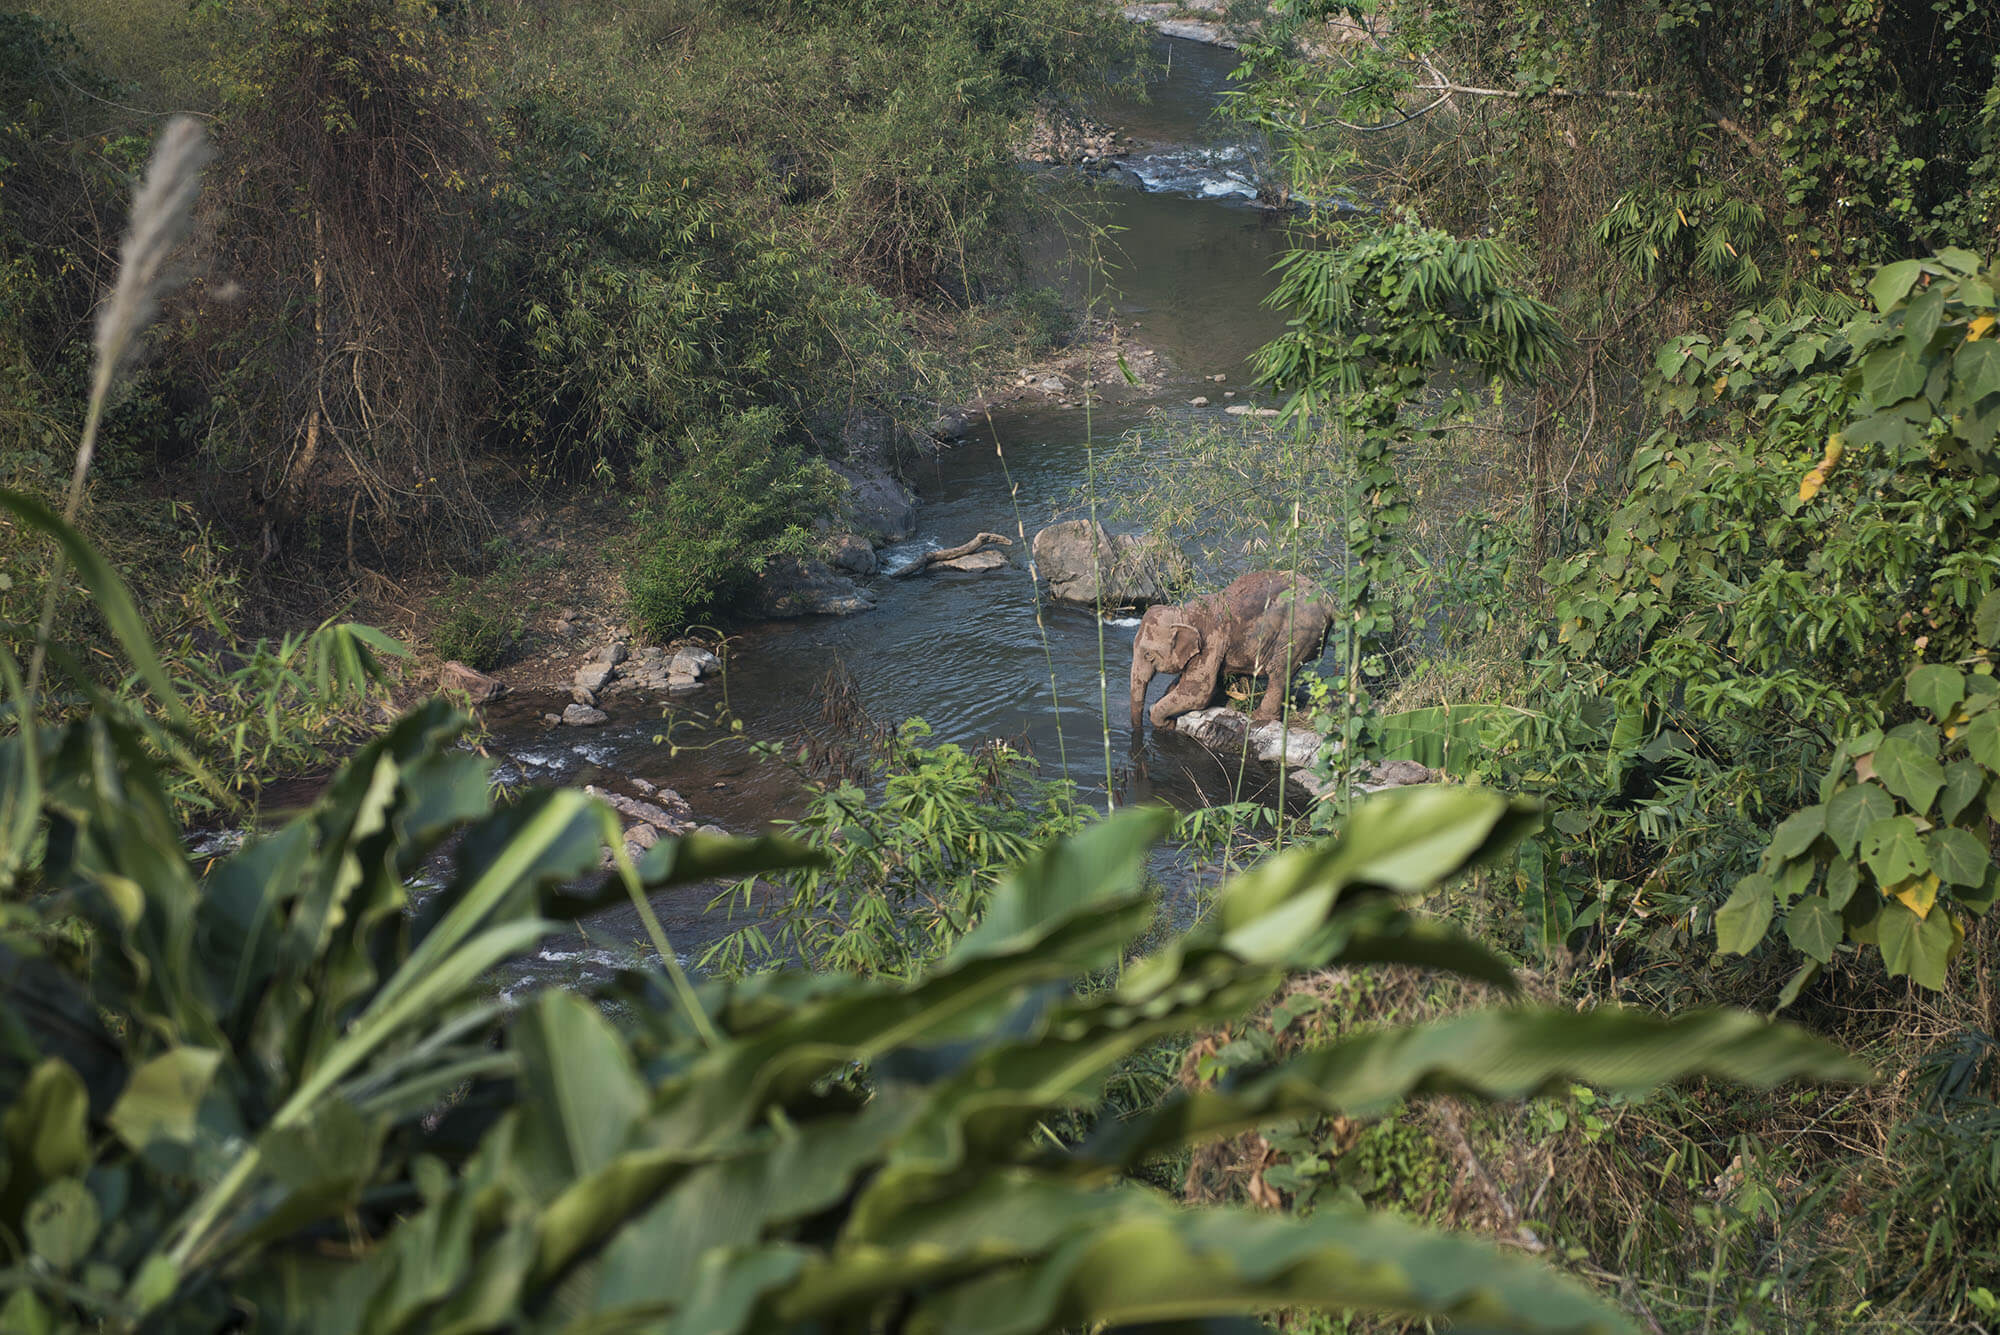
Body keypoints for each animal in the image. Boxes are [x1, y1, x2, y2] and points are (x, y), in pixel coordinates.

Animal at [1129, 571, 1333, 733]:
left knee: (1278, 670)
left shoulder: (1211, 643)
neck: (1184, 613)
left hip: (1297, 632)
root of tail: (1328, 602)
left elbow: (1197, 692)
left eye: (1148, 655)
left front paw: (1165, 722)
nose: (1170, 723)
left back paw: (1259, 717)